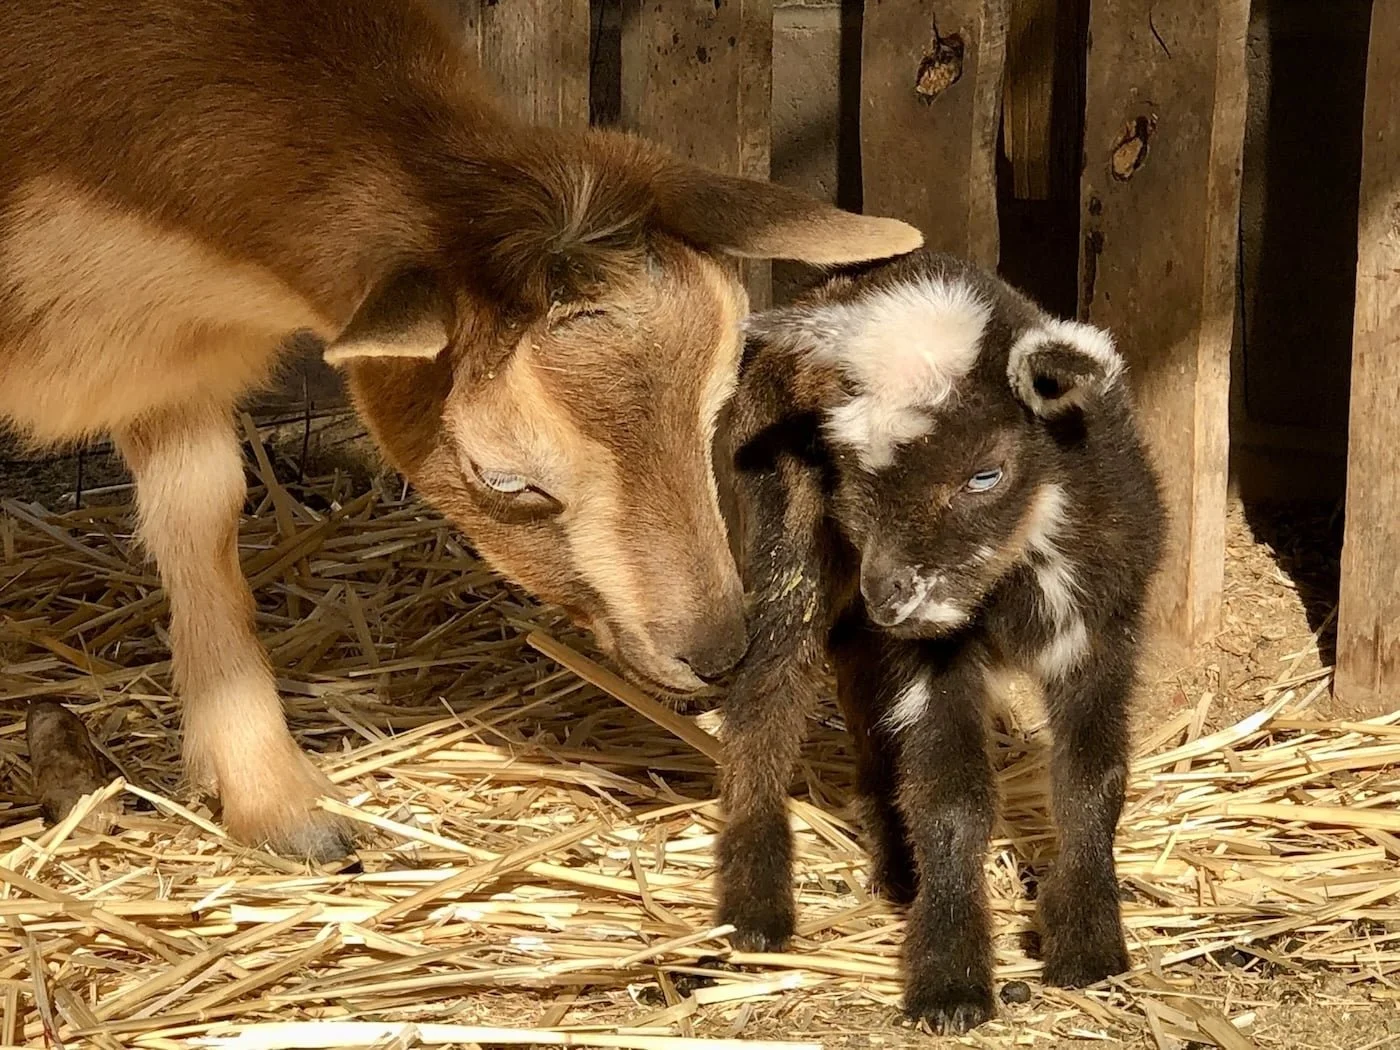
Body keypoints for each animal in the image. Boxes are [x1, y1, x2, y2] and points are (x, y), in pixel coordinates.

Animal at [0, 0, 923, 861]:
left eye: (713, 410)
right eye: (504, 476)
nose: (719, 652)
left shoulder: (168, 362)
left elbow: (202, 515)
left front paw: (279, 804)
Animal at [715, 251, 1165, 1033]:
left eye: (985, 473)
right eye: (848, 468)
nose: (891, 594)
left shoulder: (1103, 630)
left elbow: (1093, 779)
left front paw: (1088, 947)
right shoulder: (934, 655)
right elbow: (952, 800)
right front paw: (950, 984)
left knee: (860, 690)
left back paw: (896, 869)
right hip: (782, 523)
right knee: (770, 684)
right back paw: (757, 911)